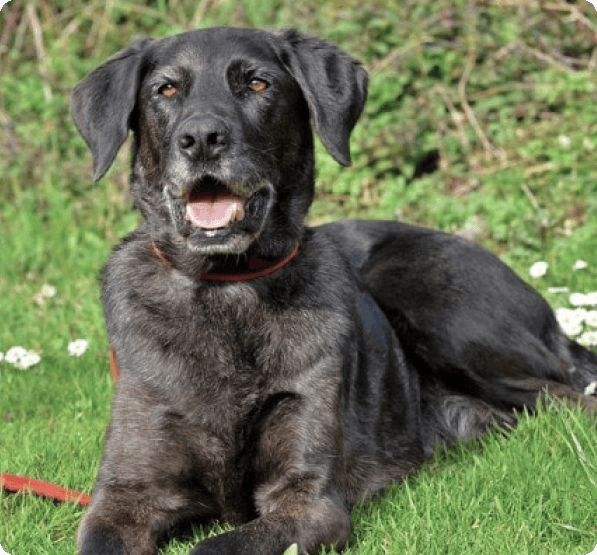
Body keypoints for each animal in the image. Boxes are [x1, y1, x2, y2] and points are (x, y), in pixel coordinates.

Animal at [71, 27, 596, 555]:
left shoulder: (309, 499)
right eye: (166, 90)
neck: (227, 287)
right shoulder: (125, 496)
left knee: (568, 397)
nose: (200, 139)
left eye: (258, 84)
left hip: (435, 308)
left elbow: (216, 545)